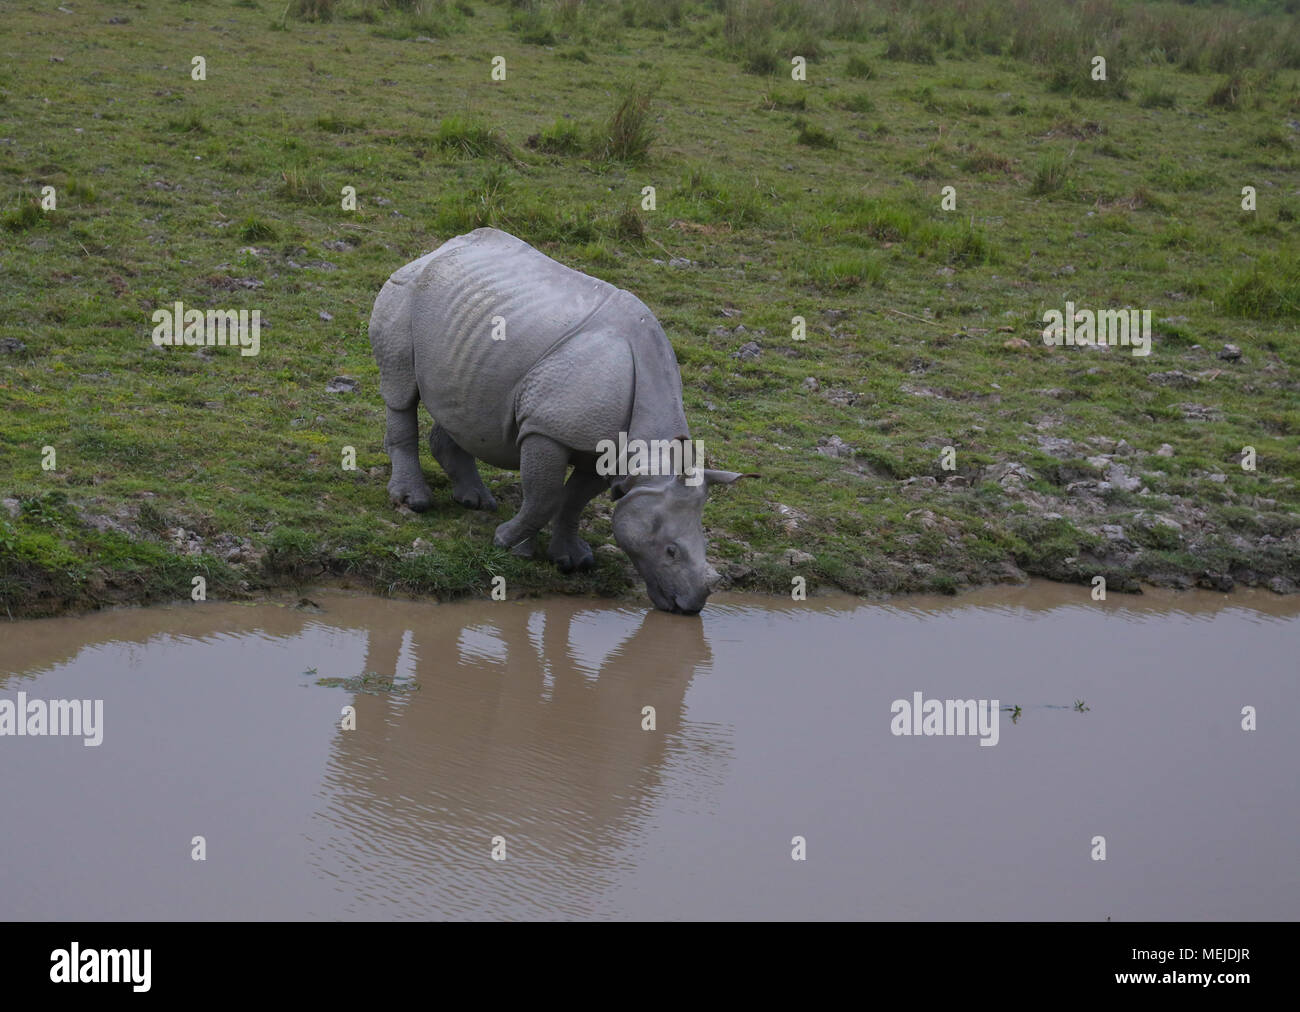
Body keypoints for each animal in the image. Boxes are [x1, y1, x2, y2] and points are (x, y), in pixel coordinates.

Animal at [368, 228, 754, 614]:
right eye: (671, 551)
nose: (690, 607)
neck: (649, 458)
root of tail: (440, 248)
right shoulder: (547, 428)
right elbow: (544, 496)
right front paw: (509, 544)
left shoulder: (605, 449)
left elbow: (572, 500)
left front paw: (571, 560)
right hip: (406, 291)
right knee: (401, 389)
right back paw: (414, 502)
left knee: (461, 405)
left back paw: (476, 502)